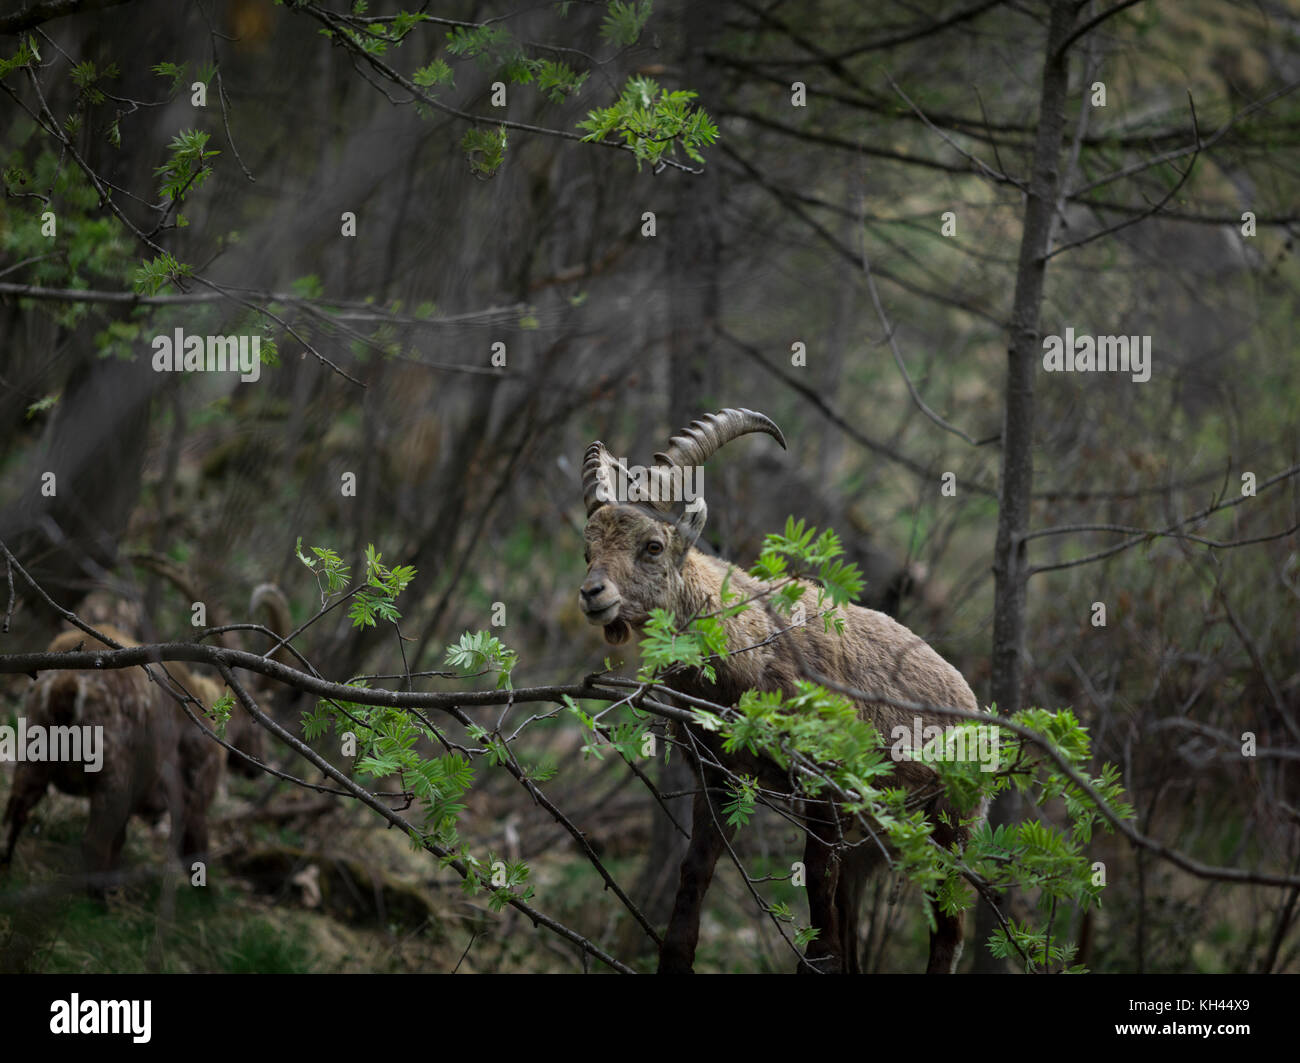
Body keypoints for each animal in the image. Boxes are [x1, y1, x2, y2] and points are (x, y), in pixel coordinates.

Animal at [579, 408, 986, 974]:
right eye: (588, 549)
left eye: (652, 546)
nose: (593, 594)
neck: (750, 655)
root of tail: (970, 702)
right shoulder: (718, 778)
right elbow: (695, 871)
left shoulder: (825, 788)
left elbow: (815, 877)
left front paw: (816, 959)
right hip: (870, 845)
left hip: (948, 829)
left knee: (948, 930)